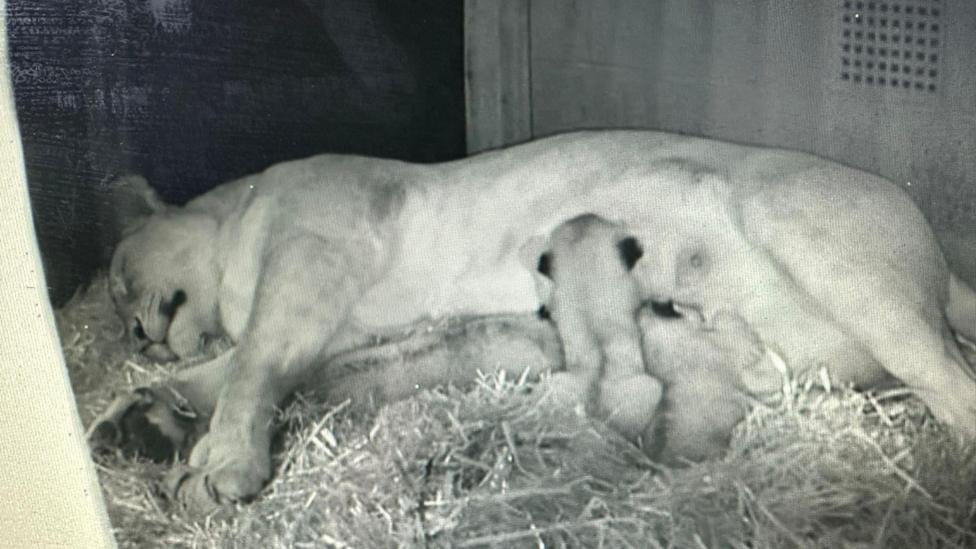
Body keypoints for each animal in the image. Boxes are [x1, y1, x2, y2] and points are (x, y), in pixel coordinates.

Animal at [90, 130, 976, 513]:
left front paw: (217, 465)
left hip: (824, 249)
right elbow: (226, 371)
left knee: (956, 380)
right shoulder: (325, 326)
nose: (133, 332)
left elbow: (248, 368)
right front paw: (141, 418)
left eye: (122, 279)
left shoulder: (308, 259)